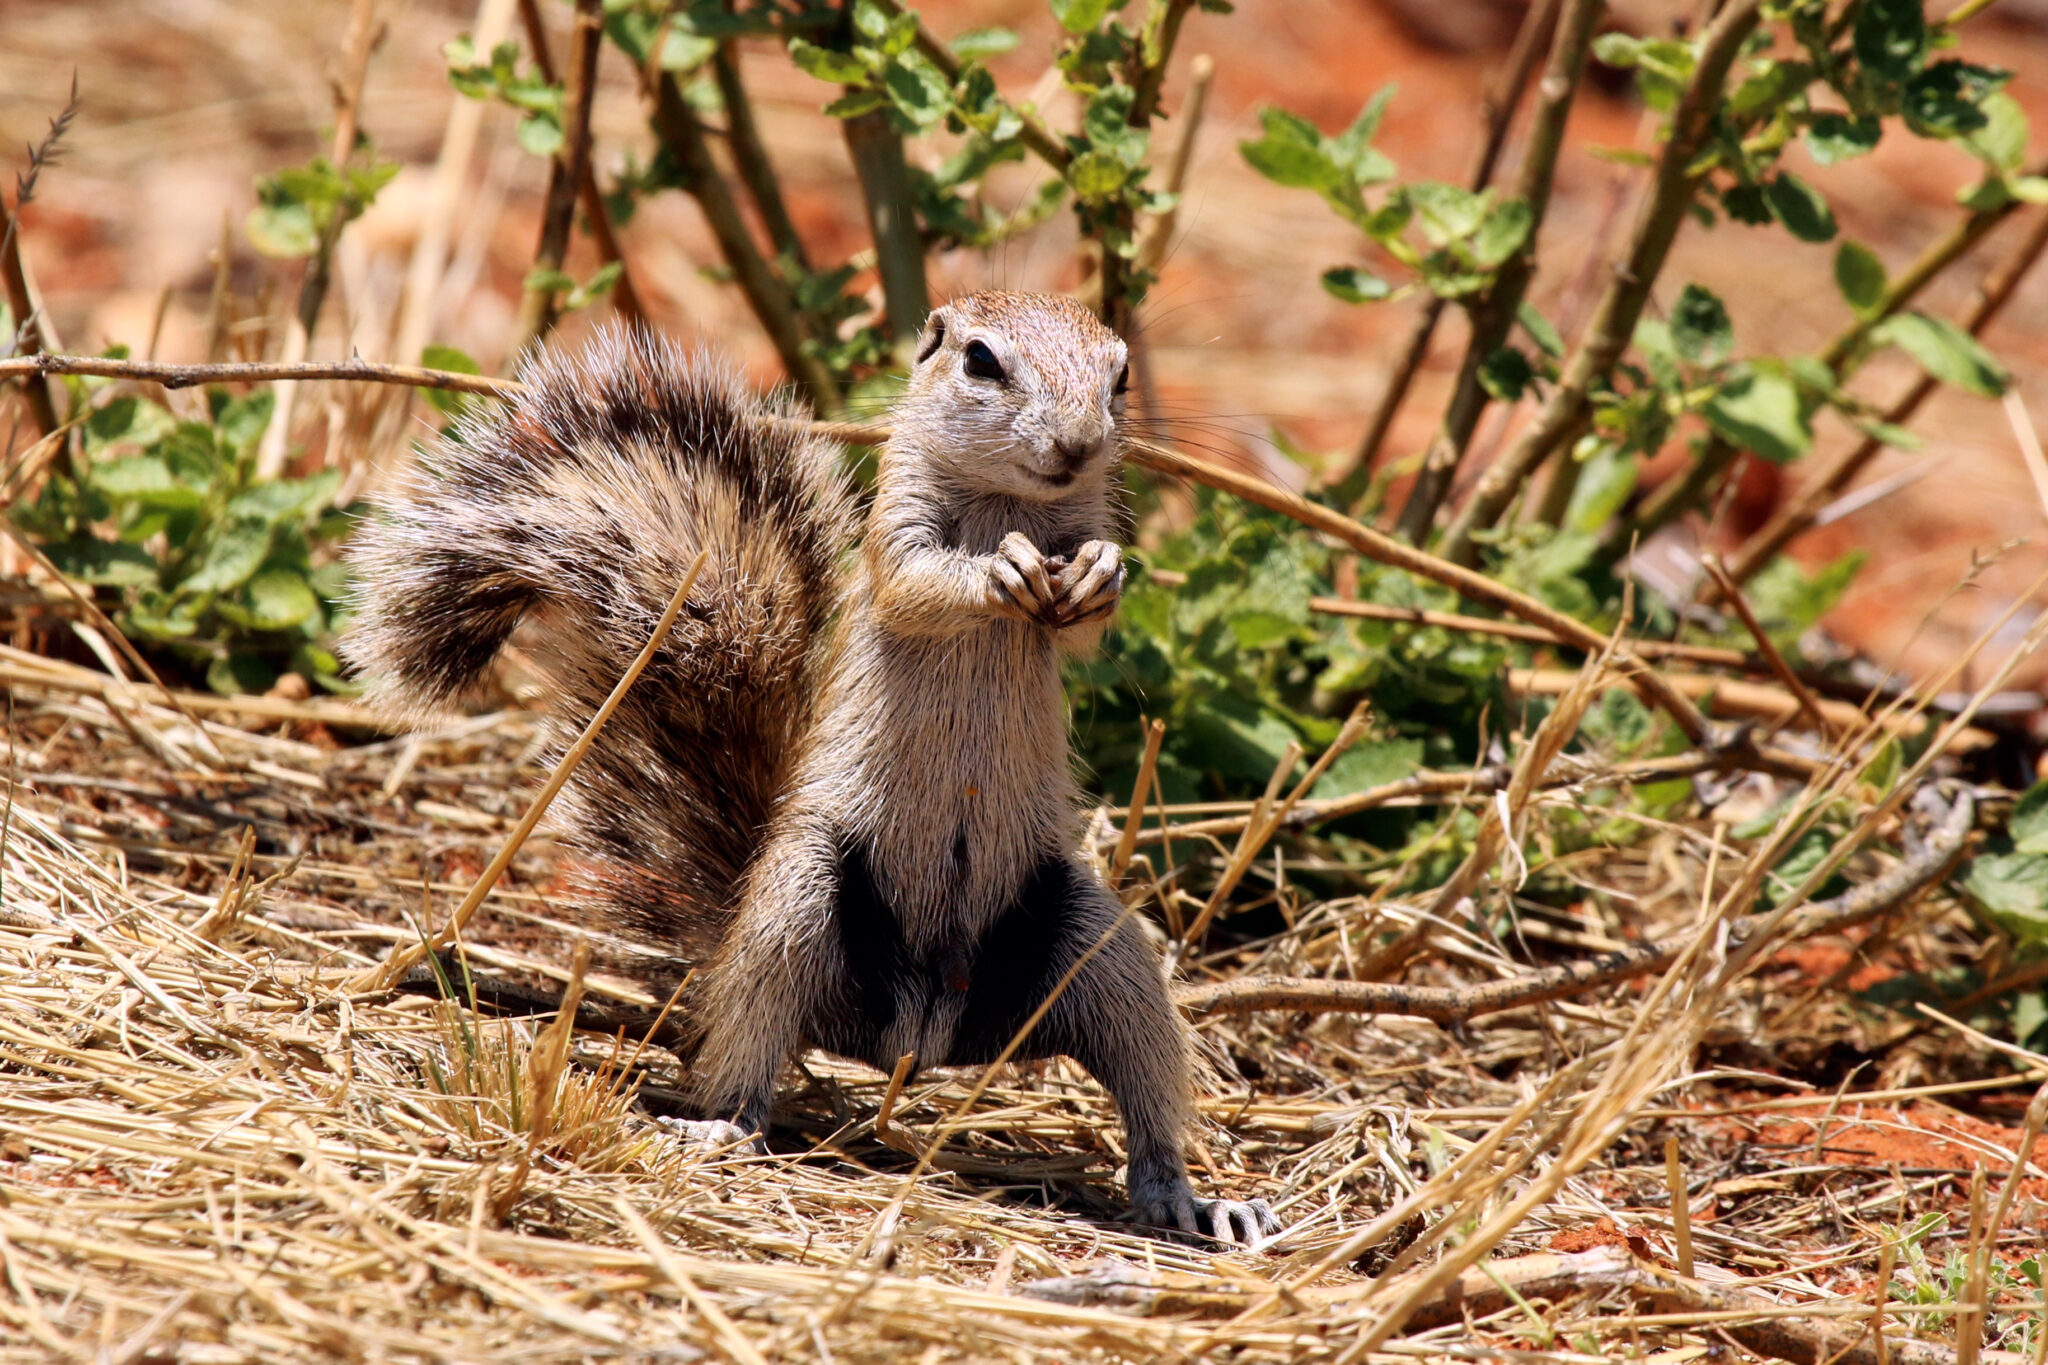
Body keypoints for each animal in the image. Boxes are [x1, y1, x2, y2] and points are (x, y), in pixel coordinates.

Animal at [344, 291, 1278, 1243]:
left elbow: (1087, 629)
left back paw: (1191, 1200)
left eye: (1120, 375)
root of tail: (918, 1033)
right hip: (798, 905)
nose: (1081, 444)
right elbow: (920, 582)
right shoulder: (895, 532)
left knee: (1144, 1088)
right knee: (749, 1052)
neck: (1004, 500)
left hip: (1098, 944)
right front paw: (999, 568)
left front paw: (1100, 574)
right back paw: (723, 1125)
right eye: (981, 360)